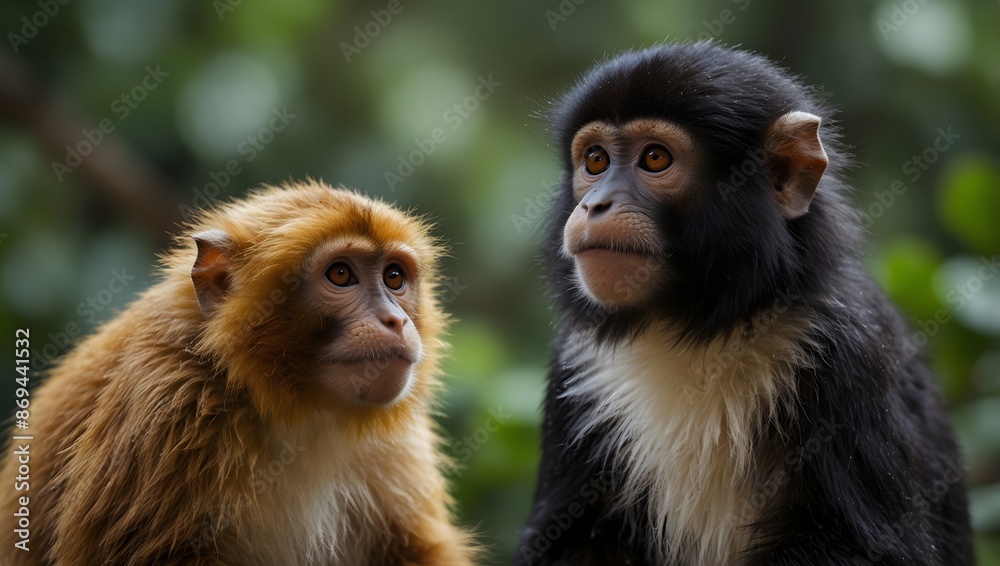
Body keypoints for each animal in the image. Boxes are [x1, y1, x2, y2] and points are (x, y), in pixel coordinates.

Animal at [517, 42, 974, 565]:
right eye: (595, 160)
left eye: (654, 158)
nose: (594, 204)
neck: (698, 331)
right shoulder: (575, 362)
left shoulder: (848, 354)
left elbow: (868, 549)